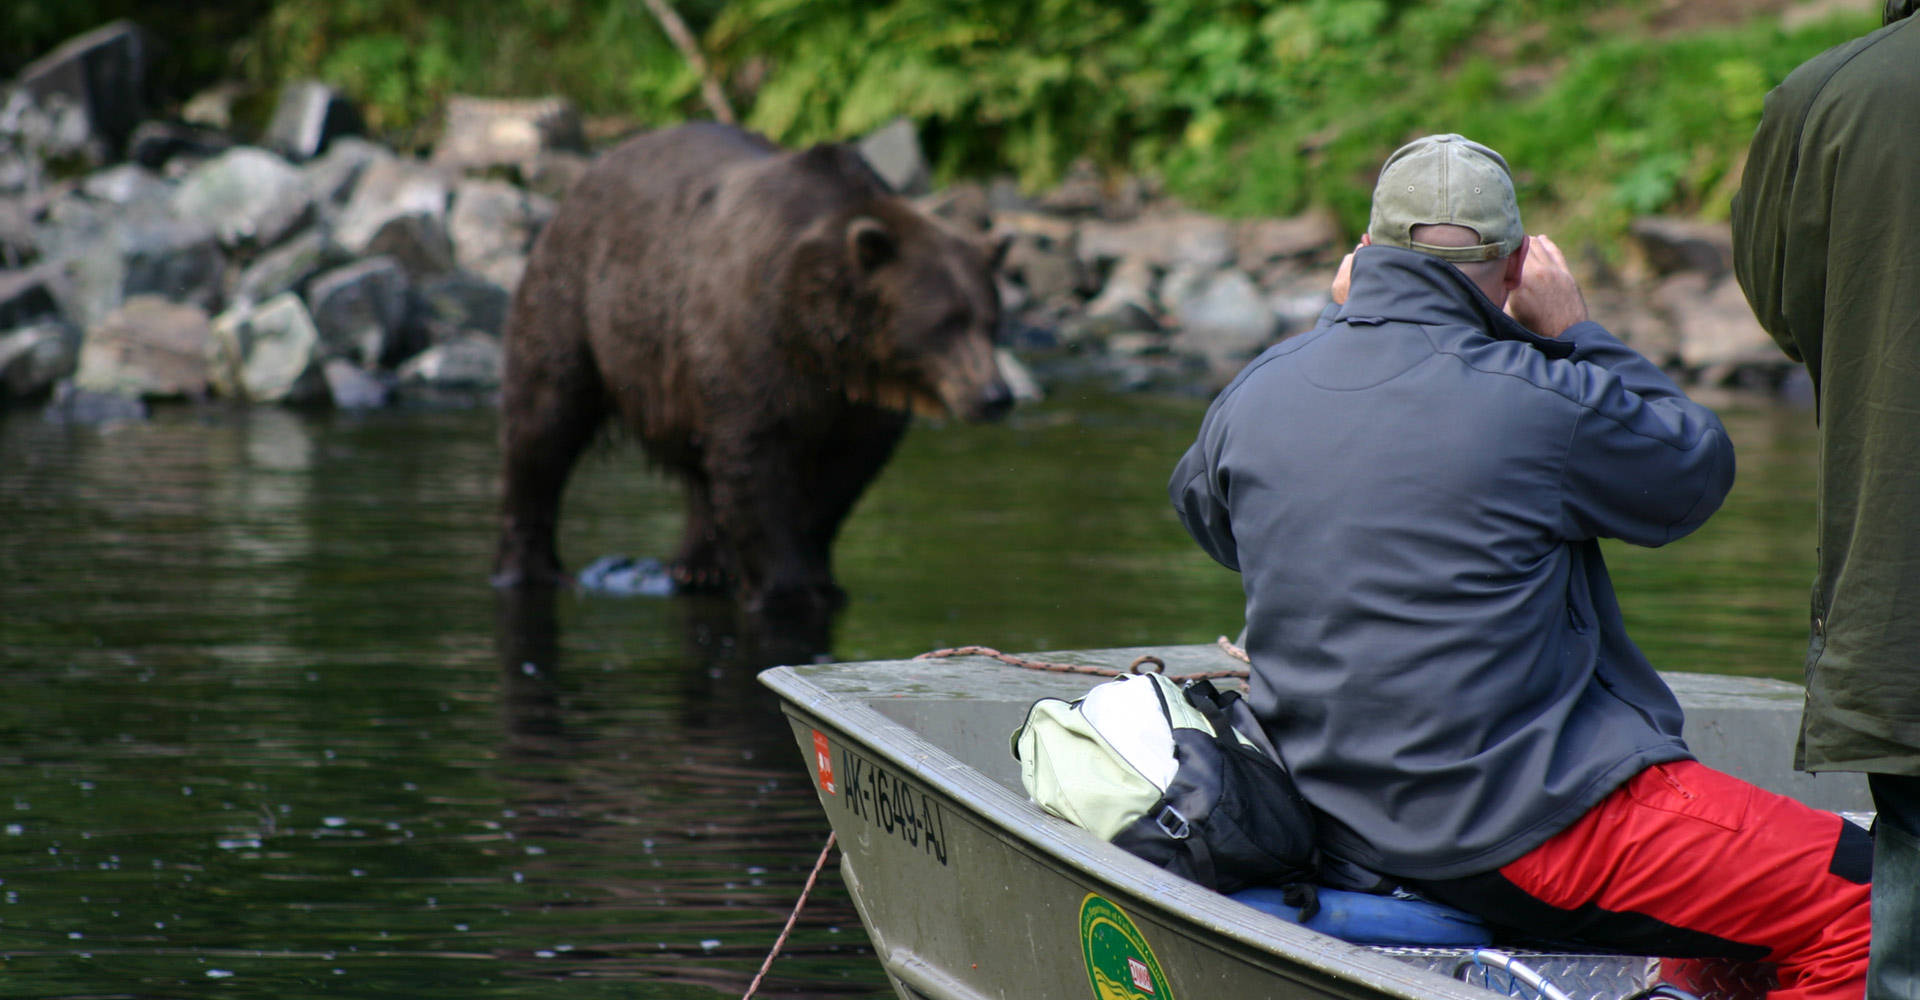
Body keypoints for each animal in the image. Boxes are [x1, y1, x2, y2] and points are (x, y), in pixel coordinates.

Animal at [492, 123, 1012, 623]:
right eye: (944, 324)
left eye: (991, 321)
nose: (995, 396)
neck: (818, 336)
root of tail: (593, 172)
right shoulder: (751, 349)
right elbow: (754, 461)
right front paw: (788, 590)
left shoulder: (859, 397)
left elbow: (842, 476)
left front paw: (820, 577)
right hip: (582, 299)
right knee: (545, 418)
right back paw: (529, 570)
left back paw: (700, 568)